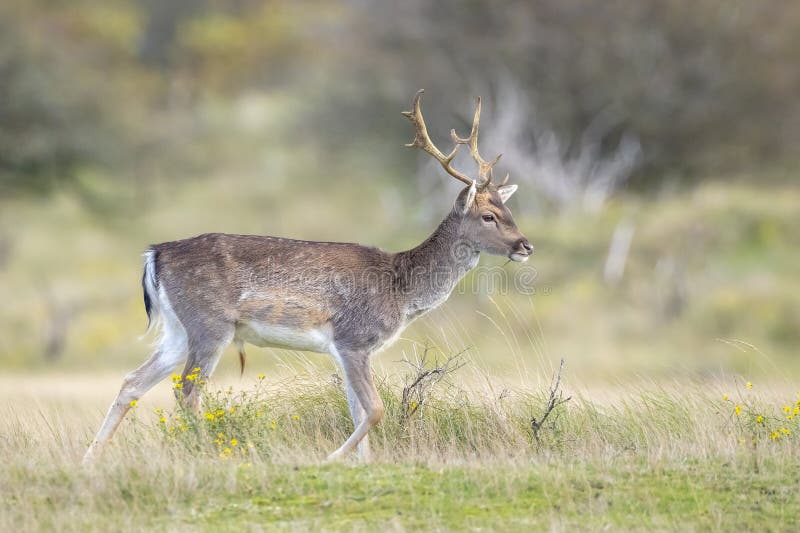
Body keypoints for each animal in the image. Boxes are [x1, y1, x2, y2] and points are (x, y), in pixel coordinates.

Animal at [82, 89, 533, 464]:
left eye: (509, 210)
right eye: (488, 216)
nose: (526, 245)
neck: (401, 290)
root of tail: (155, 254)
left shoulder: (348, 349)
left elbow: (358, 410)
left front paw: (362, 465)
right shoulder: (353, 338)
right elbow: (375, 409)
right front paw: (331, 458)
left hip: (178, 329)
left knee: (132, 382)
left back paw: (91, 458)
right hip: (210, 324)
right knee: (186, 392)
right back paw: (206, 453)